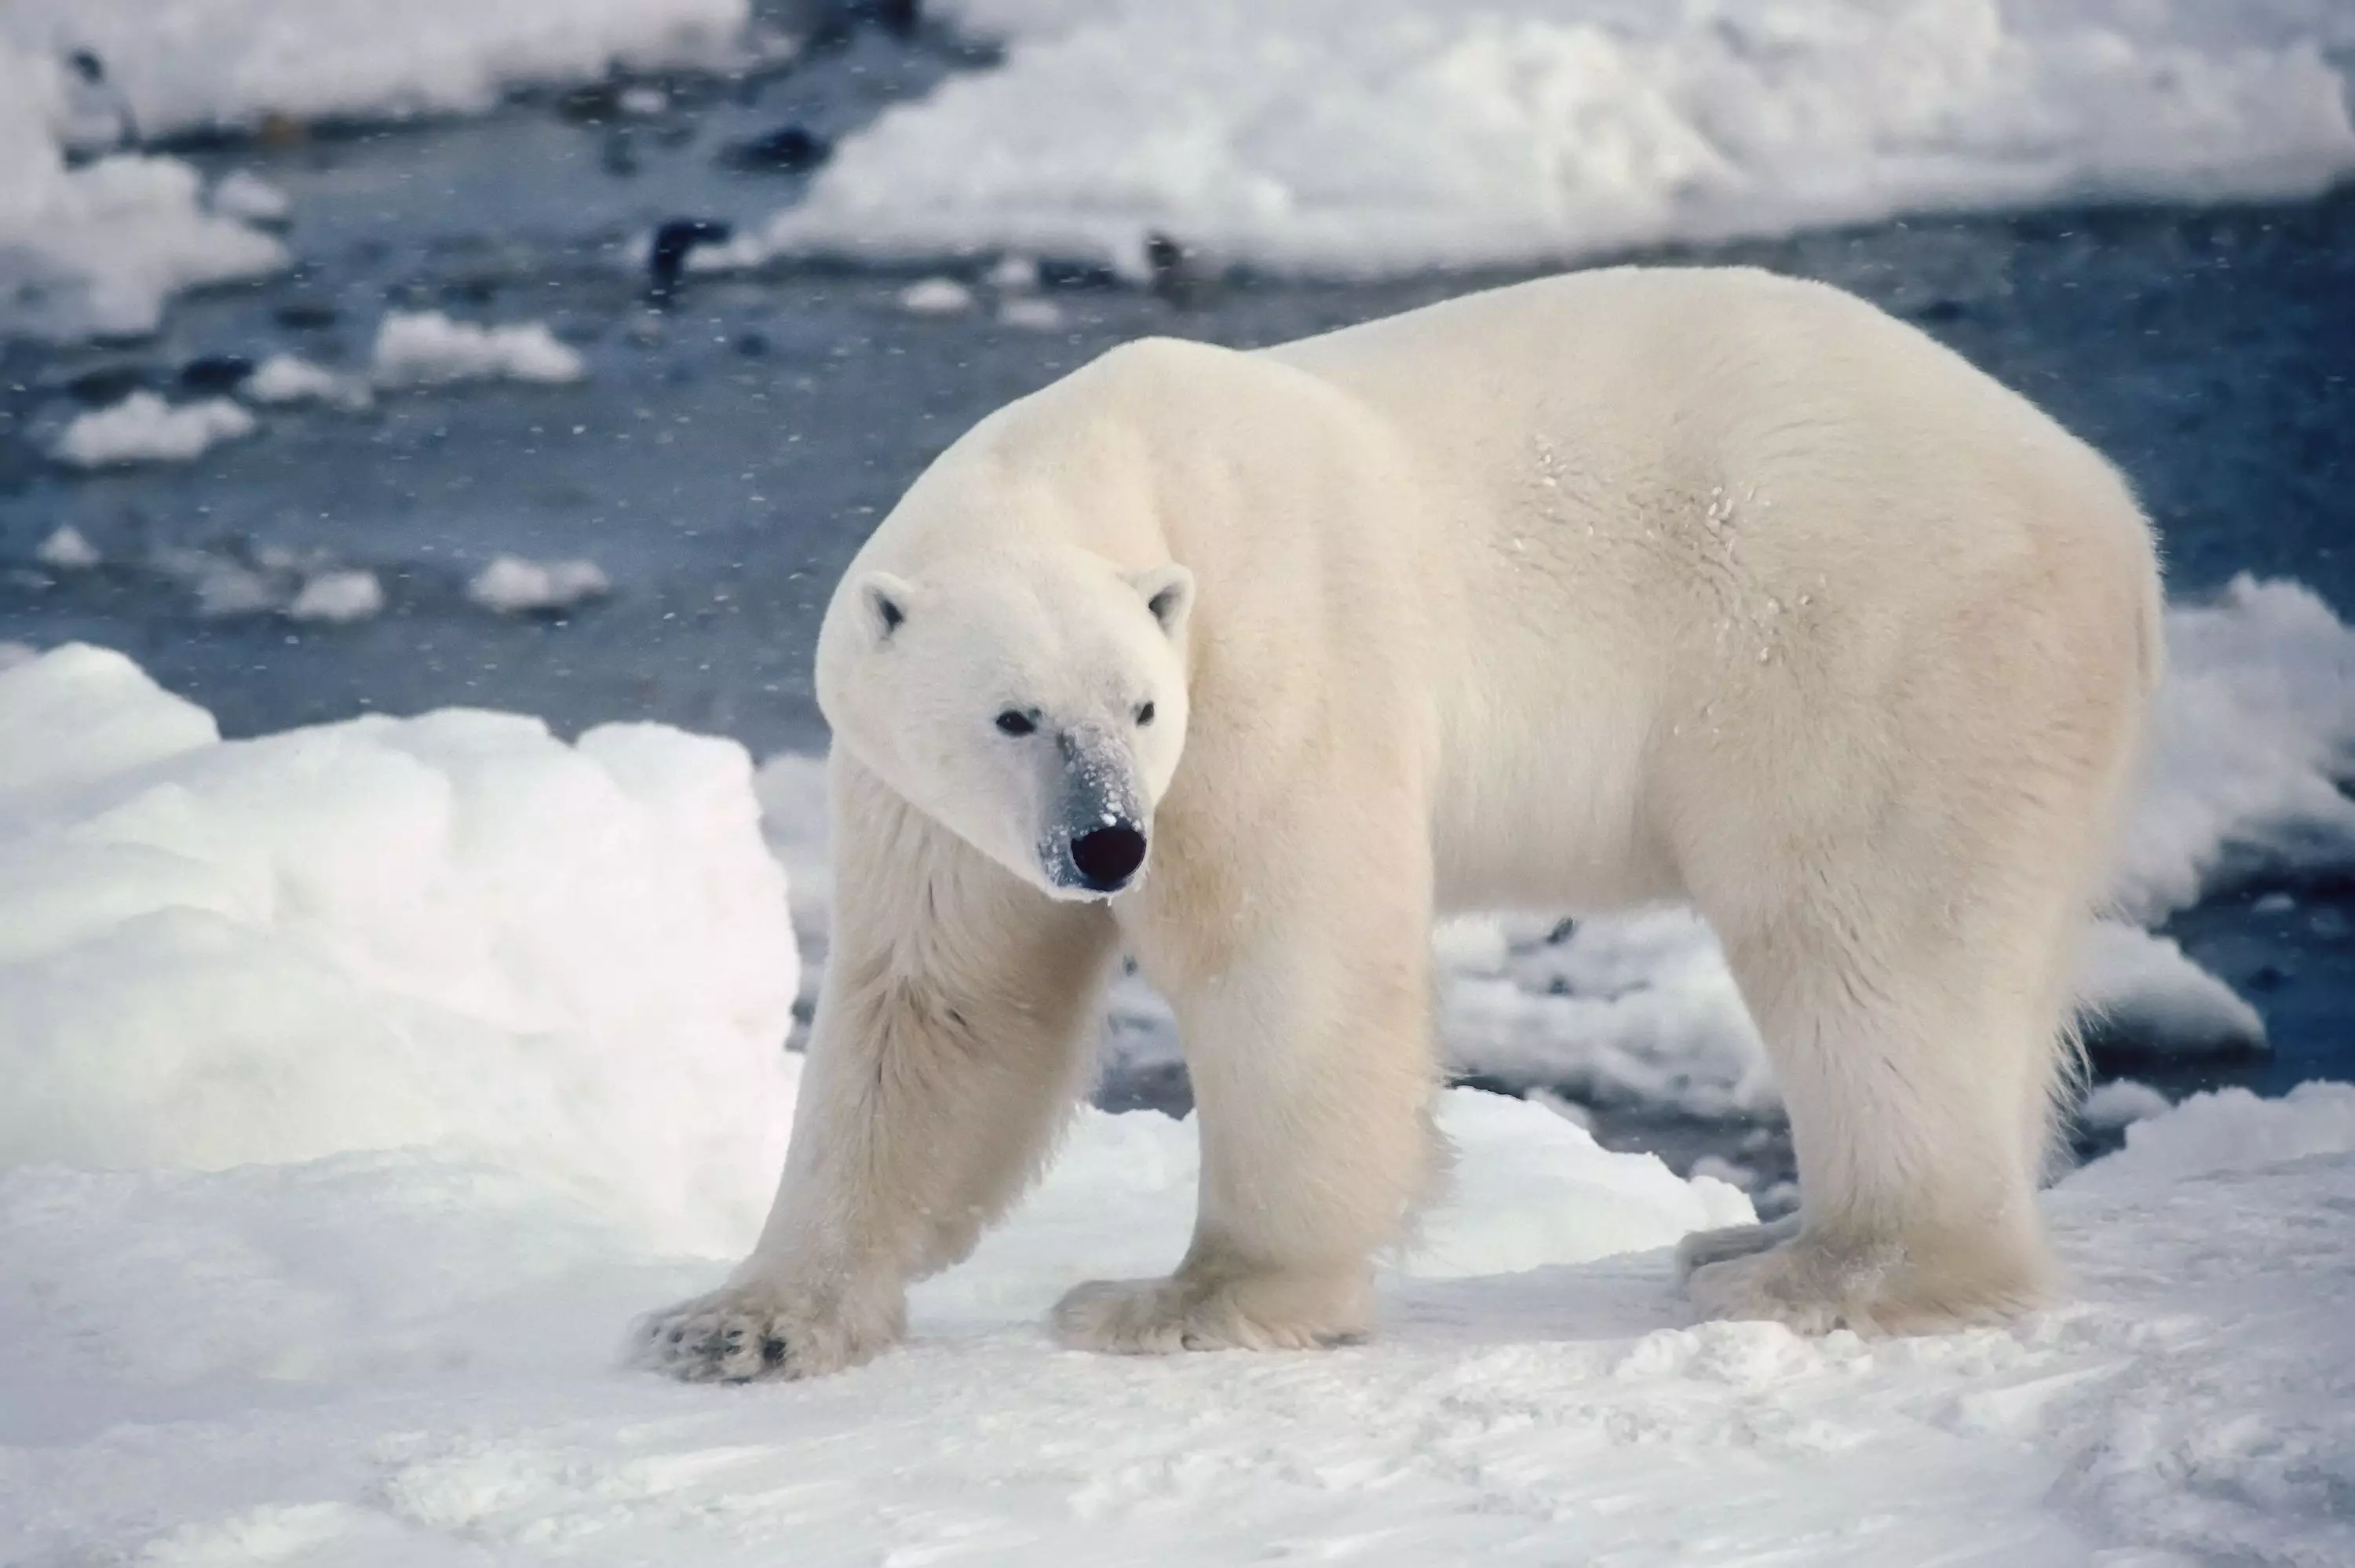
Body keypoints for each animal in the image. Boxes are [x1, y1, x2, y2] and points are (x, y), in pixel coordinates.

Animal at [636, 268, 2157, 1384]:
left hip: (1865, 638)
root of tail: (2110, 511)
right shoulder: (921, 794)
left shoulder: (1272, 657)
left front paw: (1185, 1297)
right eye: (1016, 715)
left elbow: (1286, 954)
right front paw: (739, 1320)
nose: (1109, 845)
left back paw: (1817, 1265)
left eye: (1140, 705)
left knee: (1868, 939)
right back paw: (1760, 1231)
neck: (1114, 459)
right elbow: (939, 1003)